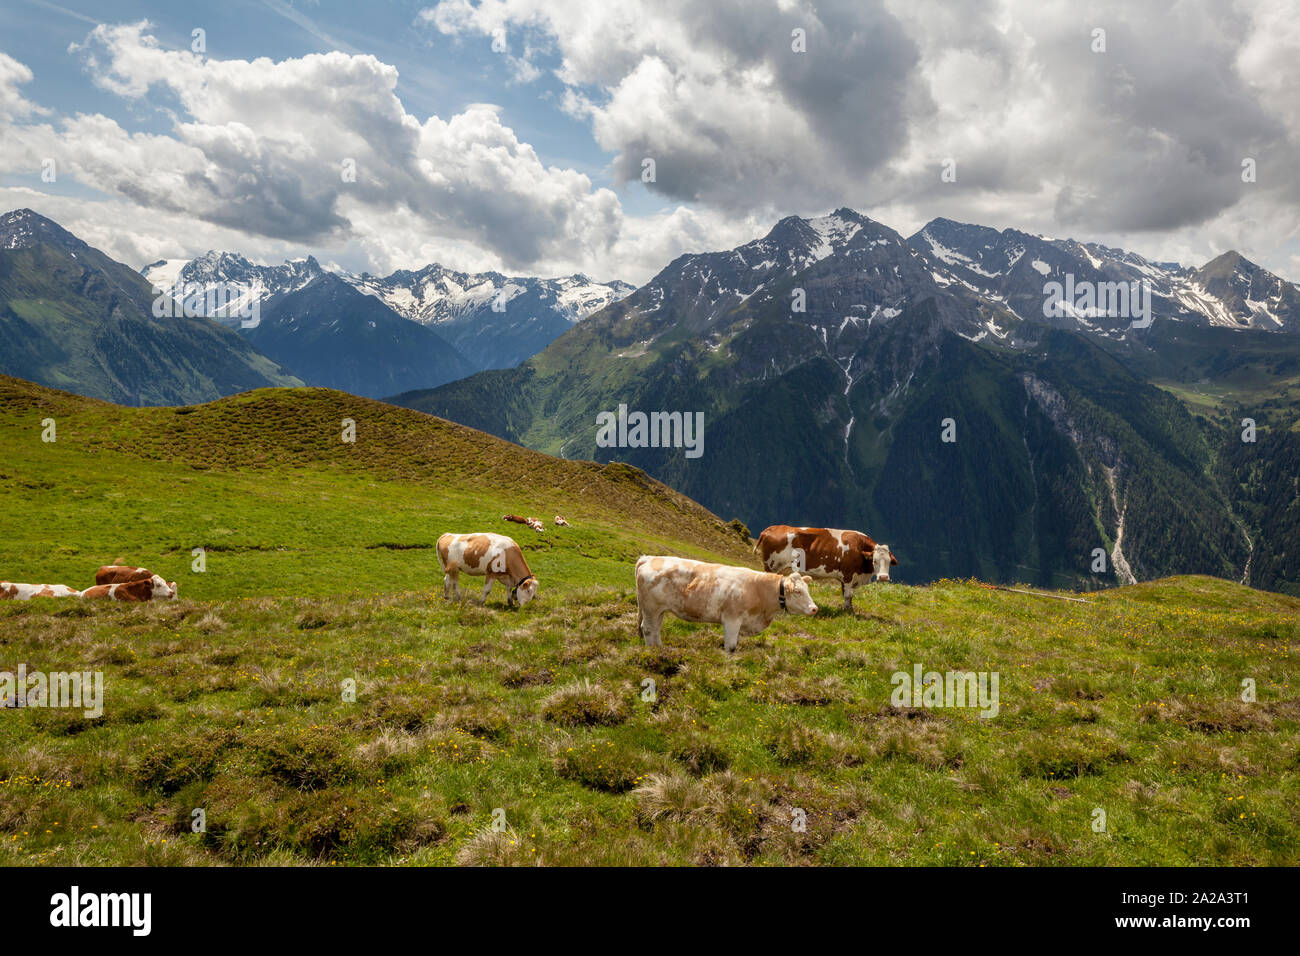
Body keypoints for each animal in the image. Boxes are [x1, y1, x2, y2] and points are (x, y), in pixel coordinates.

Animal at [635, 556, 817, 652]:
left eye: (807, 589)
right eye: (798, 591)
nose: (814, 608)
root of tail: (650, 558)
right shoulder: (732, 619)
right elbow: (730, 646)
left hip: (658, 610)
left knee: (656, 629)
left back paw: (659, 649)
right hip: (651, 607)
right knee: (648, 628)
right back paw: (652, 652)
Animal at [757, 525, 898, 610]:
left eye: (889, 561)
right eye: (875, 561)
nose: (883, 577)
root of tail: (770, 529)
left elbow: (848, 595)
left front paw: (849, 609)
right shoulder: (848, 575)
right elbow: (848, 595)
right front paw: (848, 612)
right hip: (771, 567)